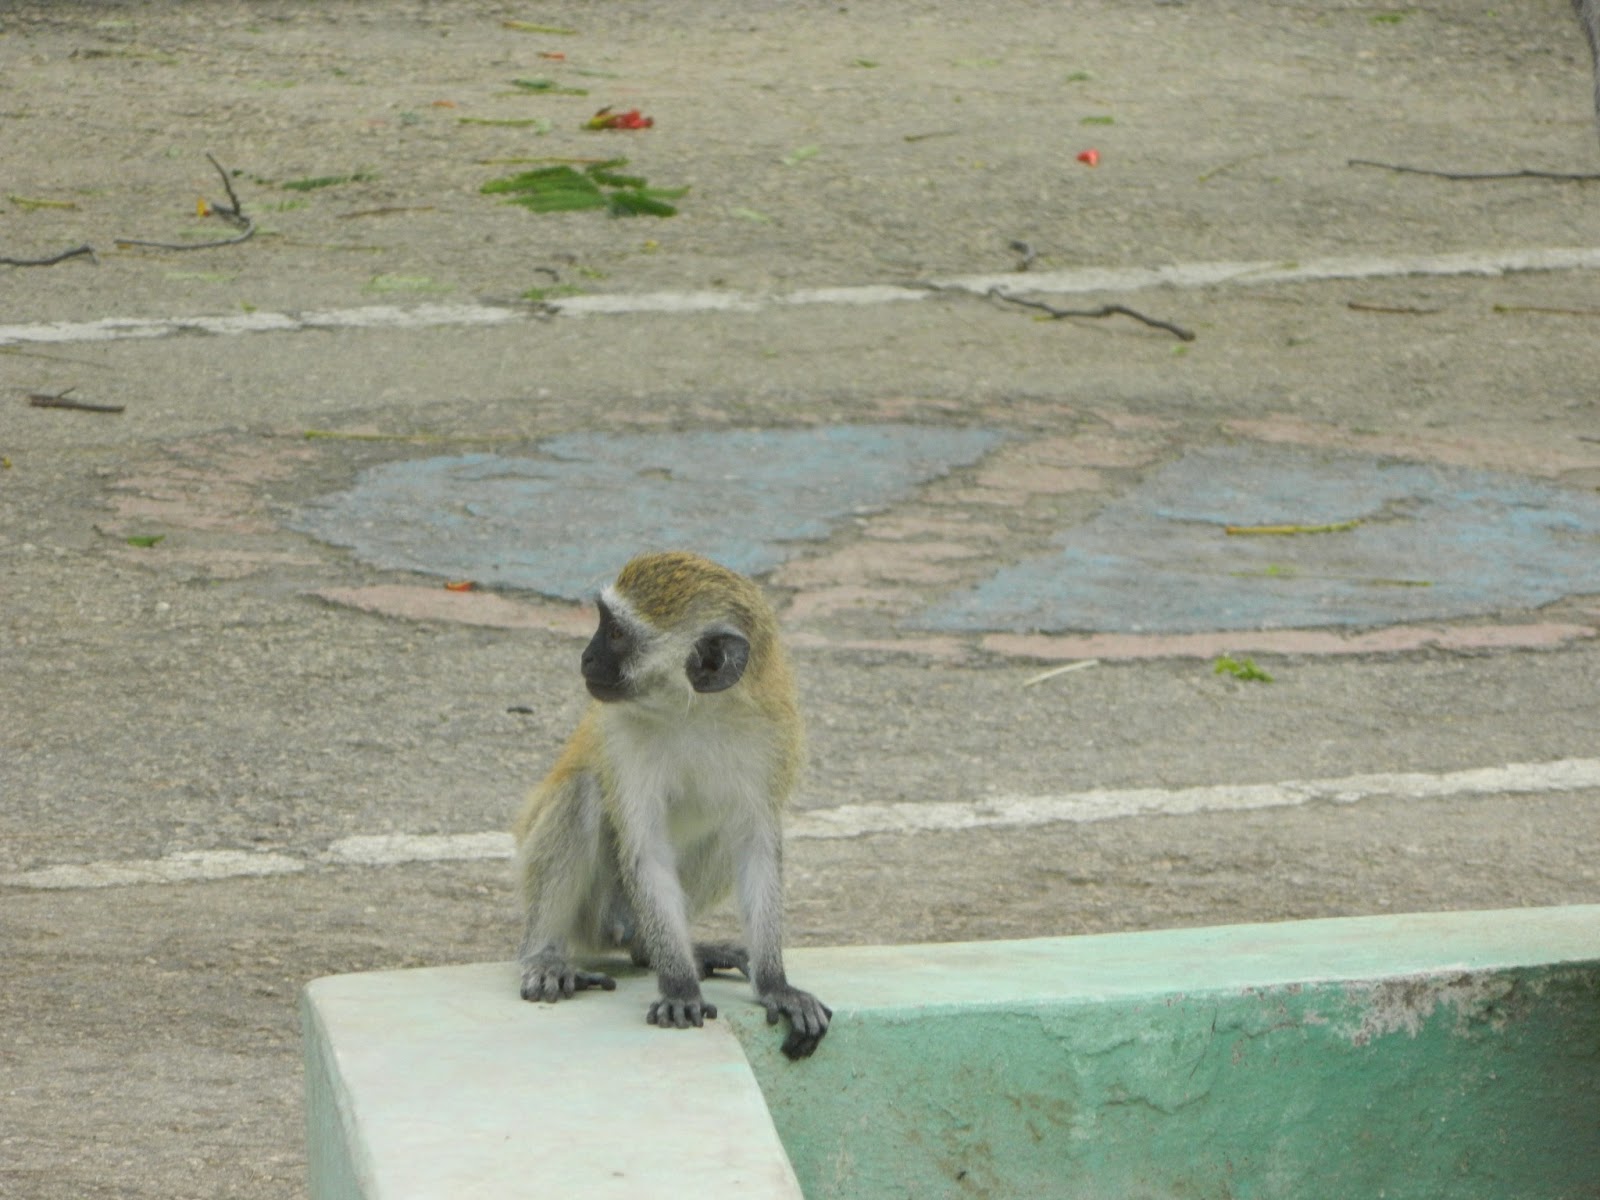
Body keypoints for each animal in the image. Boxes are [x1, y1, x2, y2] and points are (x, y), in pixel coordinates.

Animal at [512, 550, 831, 1060]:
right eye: (605, 624)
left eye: (616, 634)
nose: (586, 657)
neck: (693, 712)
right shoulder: (623, 733)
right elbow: (647, 851)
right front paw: (680, 989)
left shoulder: (771, 733)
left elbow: (755, 847)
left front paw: (776, 985)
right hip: (597, 914)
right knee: (582, 793)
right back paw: (544, 955)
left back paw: (657, 949)